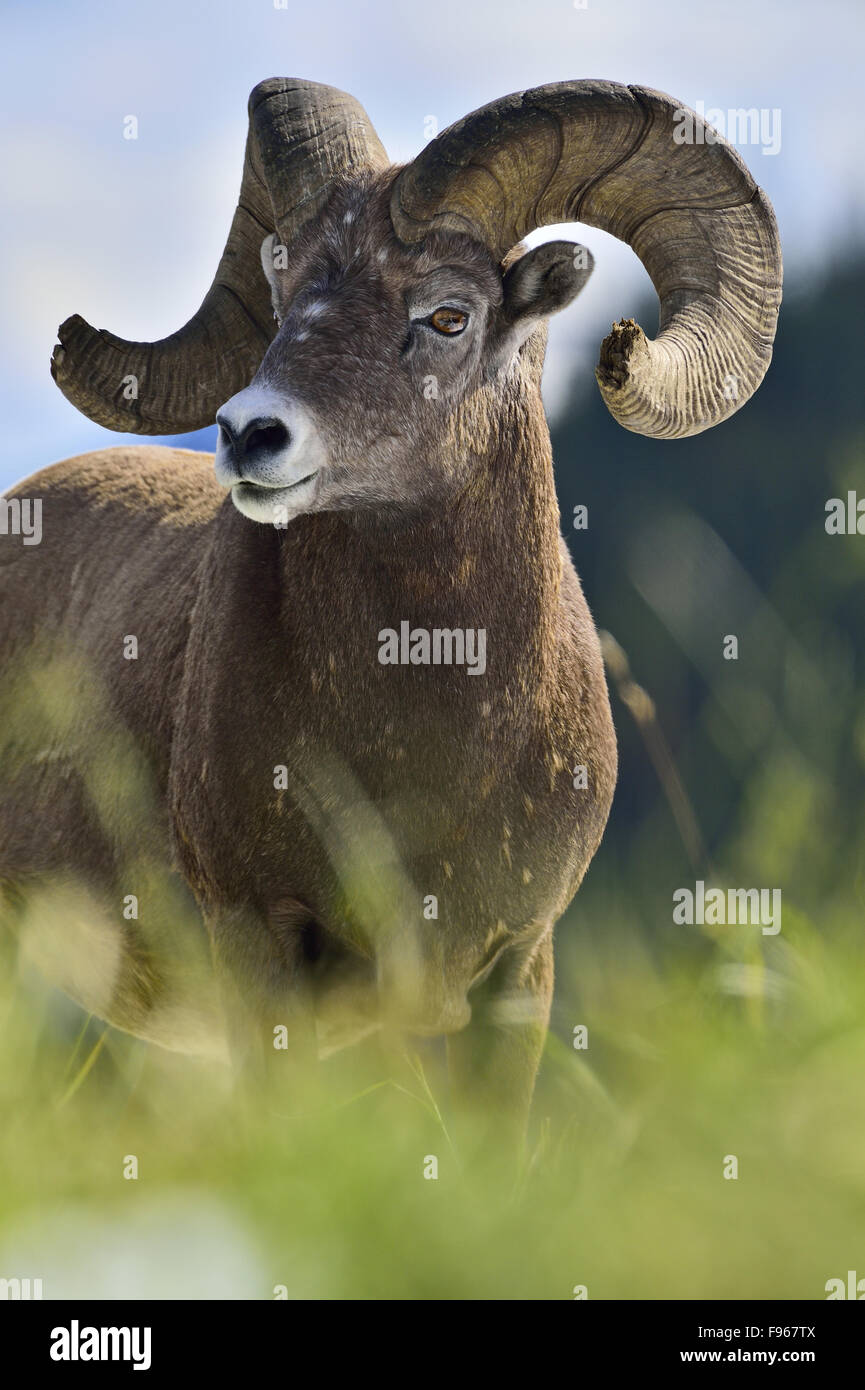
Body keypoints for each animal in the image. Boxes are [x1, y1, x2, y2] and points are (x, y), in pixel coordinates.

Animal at [0, 78, 781, 1147]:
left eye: (448, 315)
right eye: (285, 291)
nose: (249, 435)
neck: (421, 744)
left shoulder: (515, 970)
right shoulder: (263, 949)